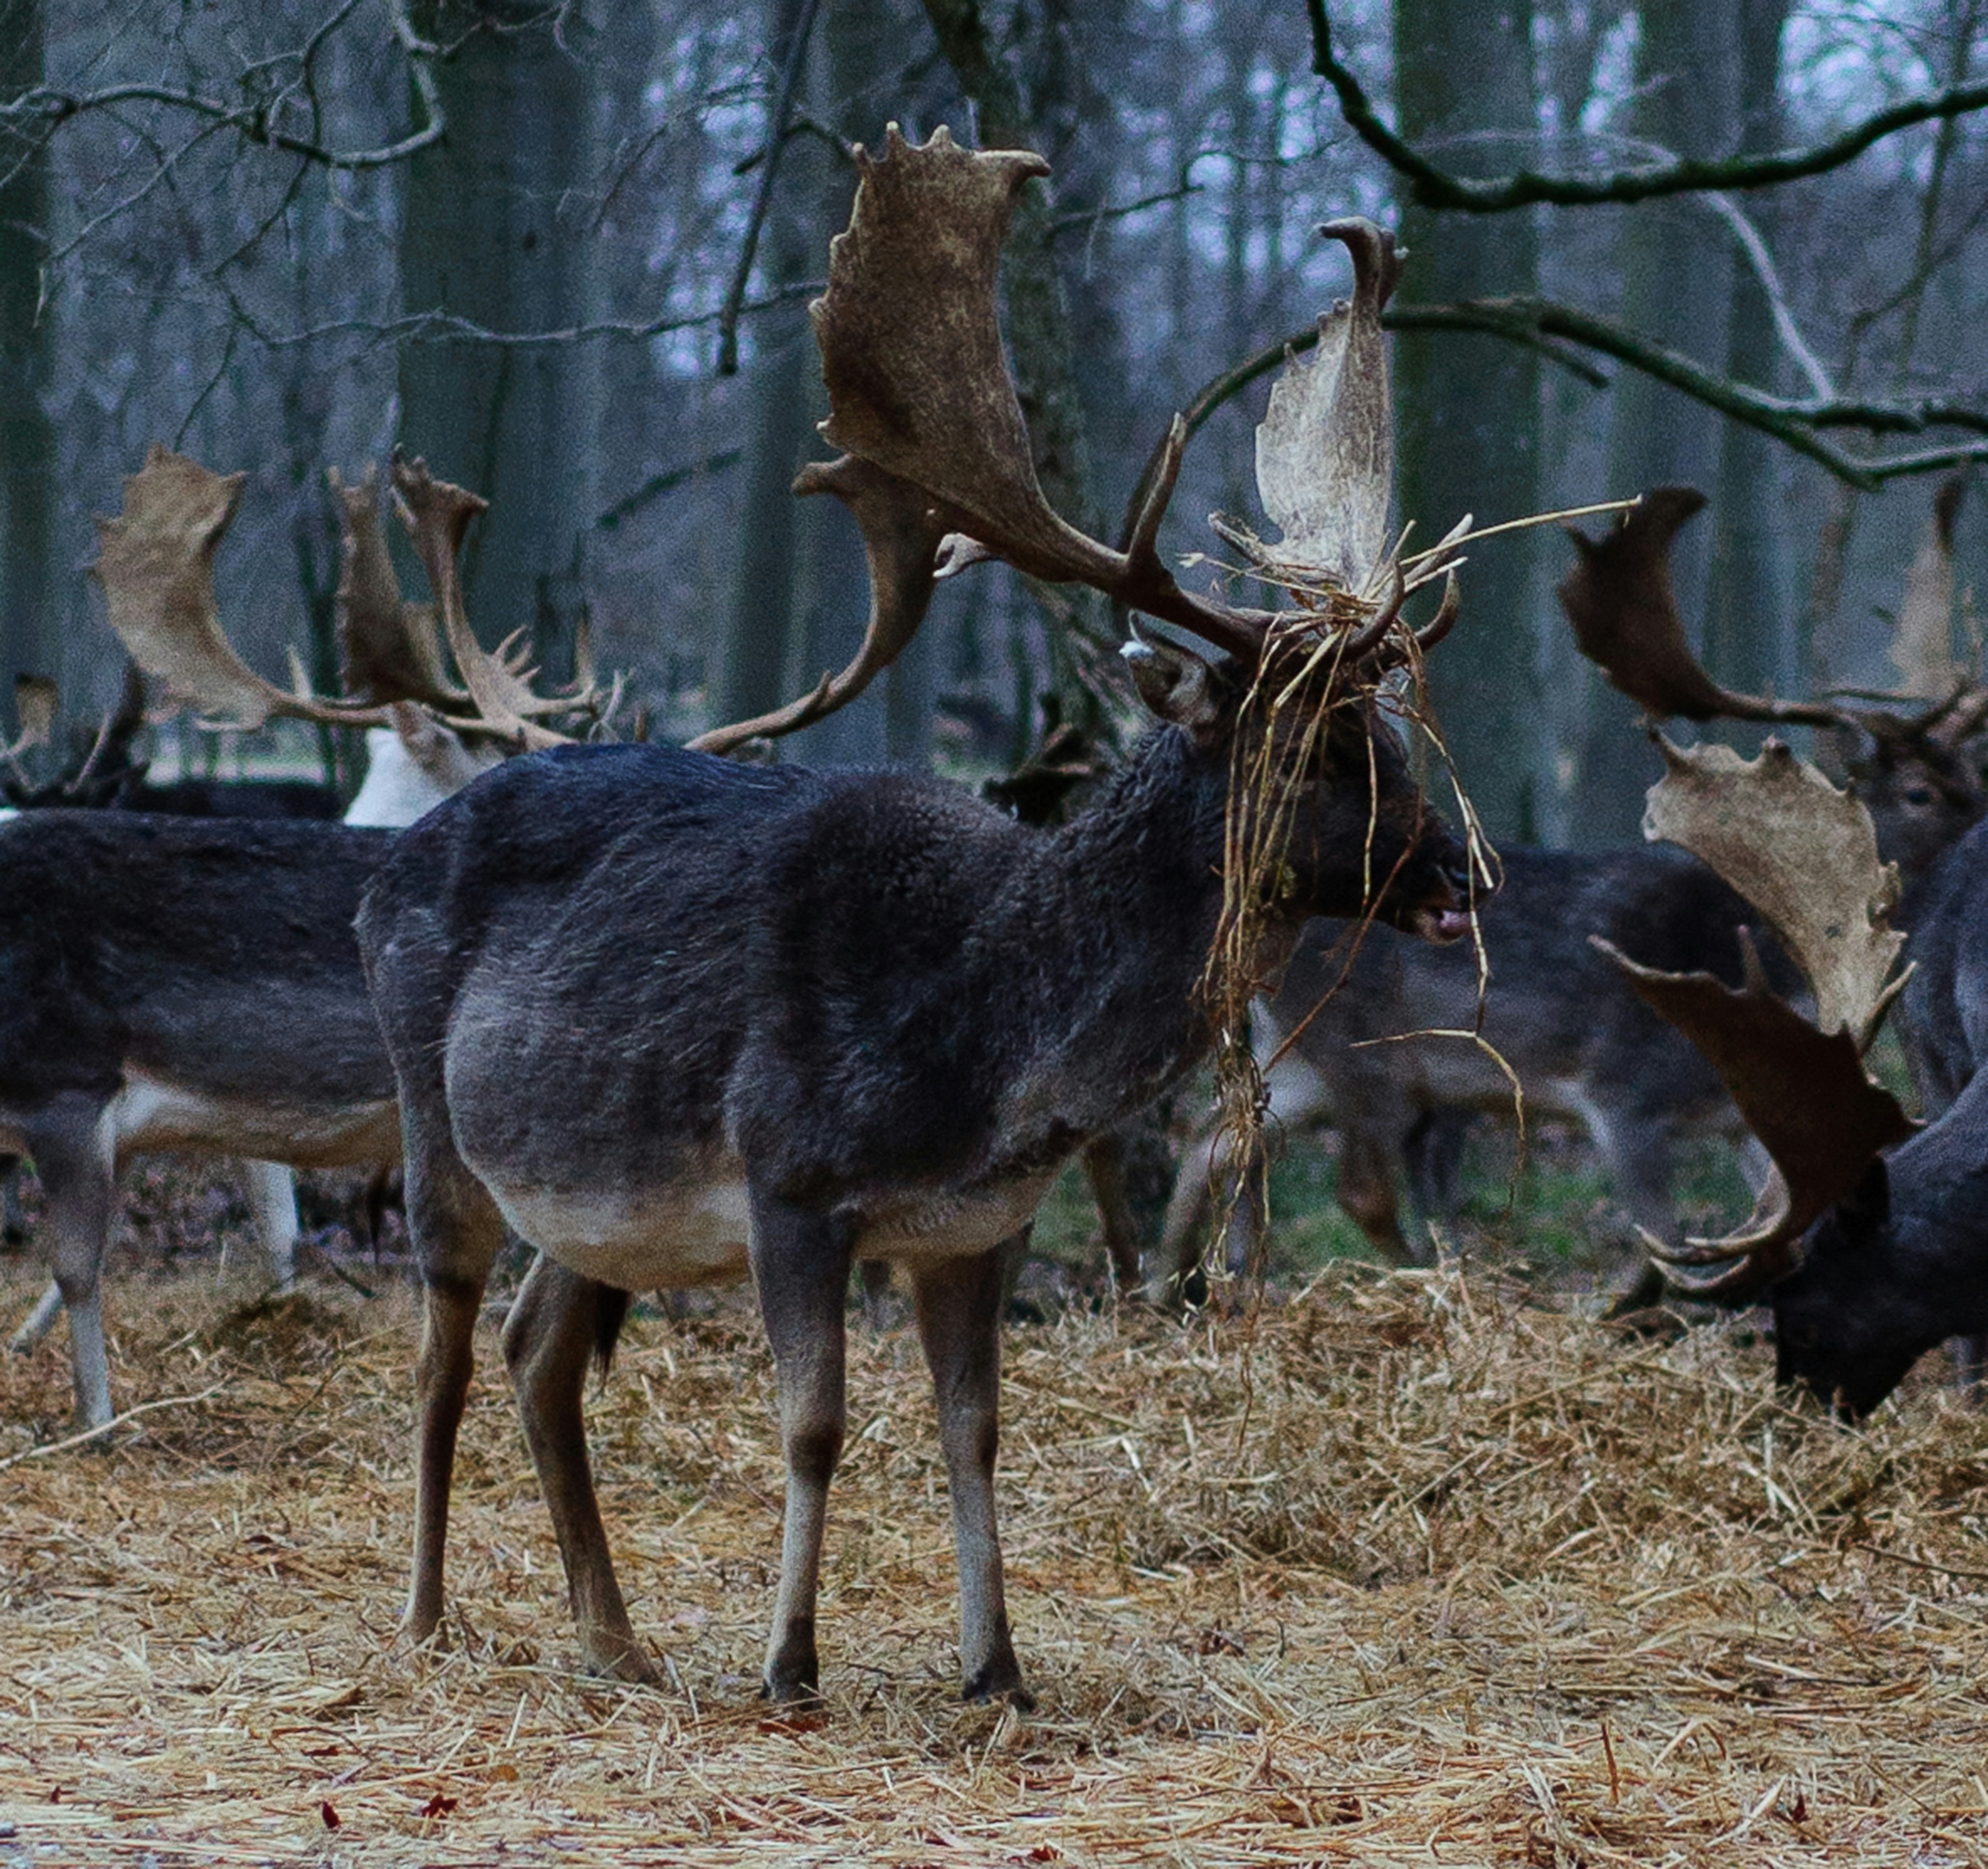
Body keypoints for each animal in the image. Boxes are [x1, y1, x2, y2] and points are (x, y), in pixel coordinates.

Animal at [354, 127, 1478, 1707]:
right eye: (1306, 749)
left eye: (1385, 728)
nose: (1455, 876)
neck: (989, 1054)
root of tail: (381, 869)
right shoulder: (788, 1174)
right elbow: (814, 1423)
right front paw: (789, 1662)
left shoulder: (975, 1228)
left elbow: (976, 1430)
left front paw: (993, 1667)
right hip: (427, 1110)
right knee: (441, 1351)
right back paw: (424, 1617)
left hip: (591, 1193)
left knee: (536, 1349)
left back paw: (615, 1639)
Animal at [1155, 485, 1987, 1302]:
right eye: (1919, 793)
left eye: (1966, 774)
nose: (1981, 825)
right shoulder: (1624, 1096)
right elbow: (1663, 1245)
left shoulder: (1738, 1120)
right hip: (1365, 1058)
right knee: (1352, 1187)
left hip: (1300, 1059)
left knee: (1212, 1141)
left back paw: (1176, 1289)